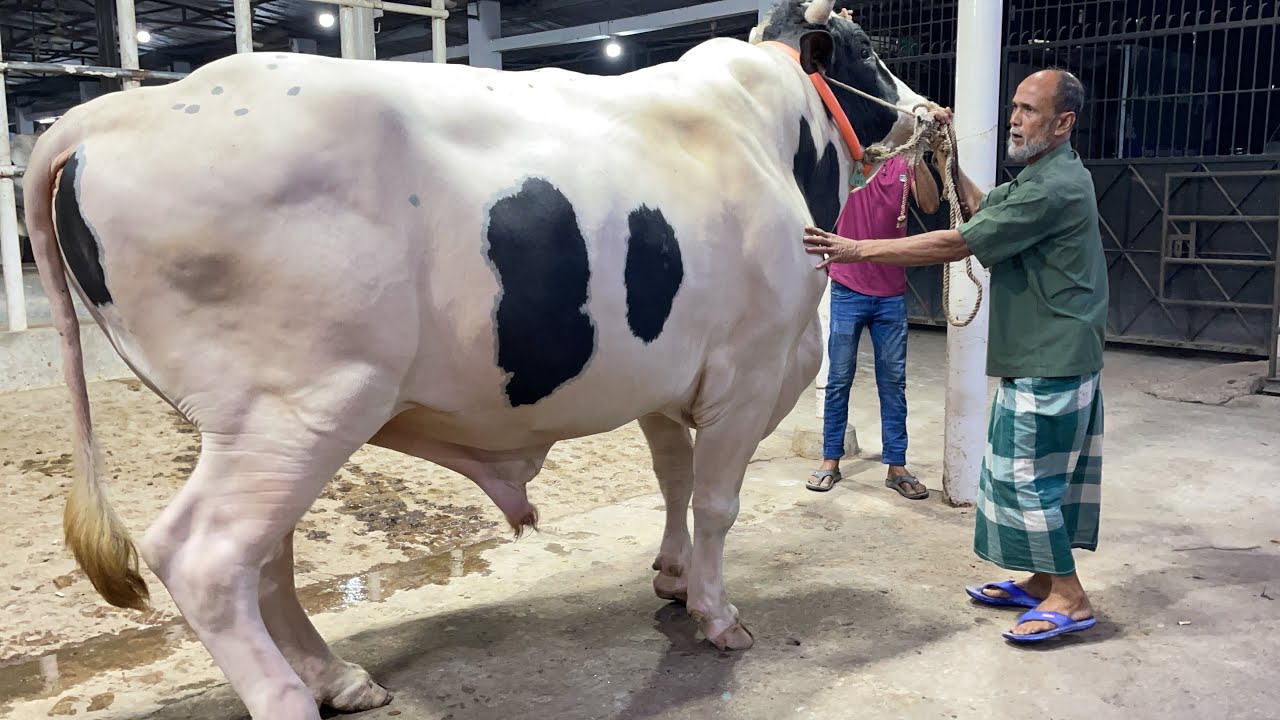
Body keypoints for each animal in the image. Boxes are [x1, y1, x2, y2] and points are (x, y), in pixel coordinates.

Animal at [22, 1, 929, 717]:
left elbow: (672, 479)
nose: (928, 110)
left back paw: (336, 678)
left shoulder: (667, 379)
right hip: (302, 405)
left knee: (264, 556)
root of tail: (115, 113)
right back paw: (289, 699)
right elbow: (715, 502)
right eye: (870, 49)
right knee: (206, 556)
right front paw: (716, 613)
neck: (765, 135)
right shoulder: (748, 371)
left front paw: (671, 579)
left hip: (265, 424)